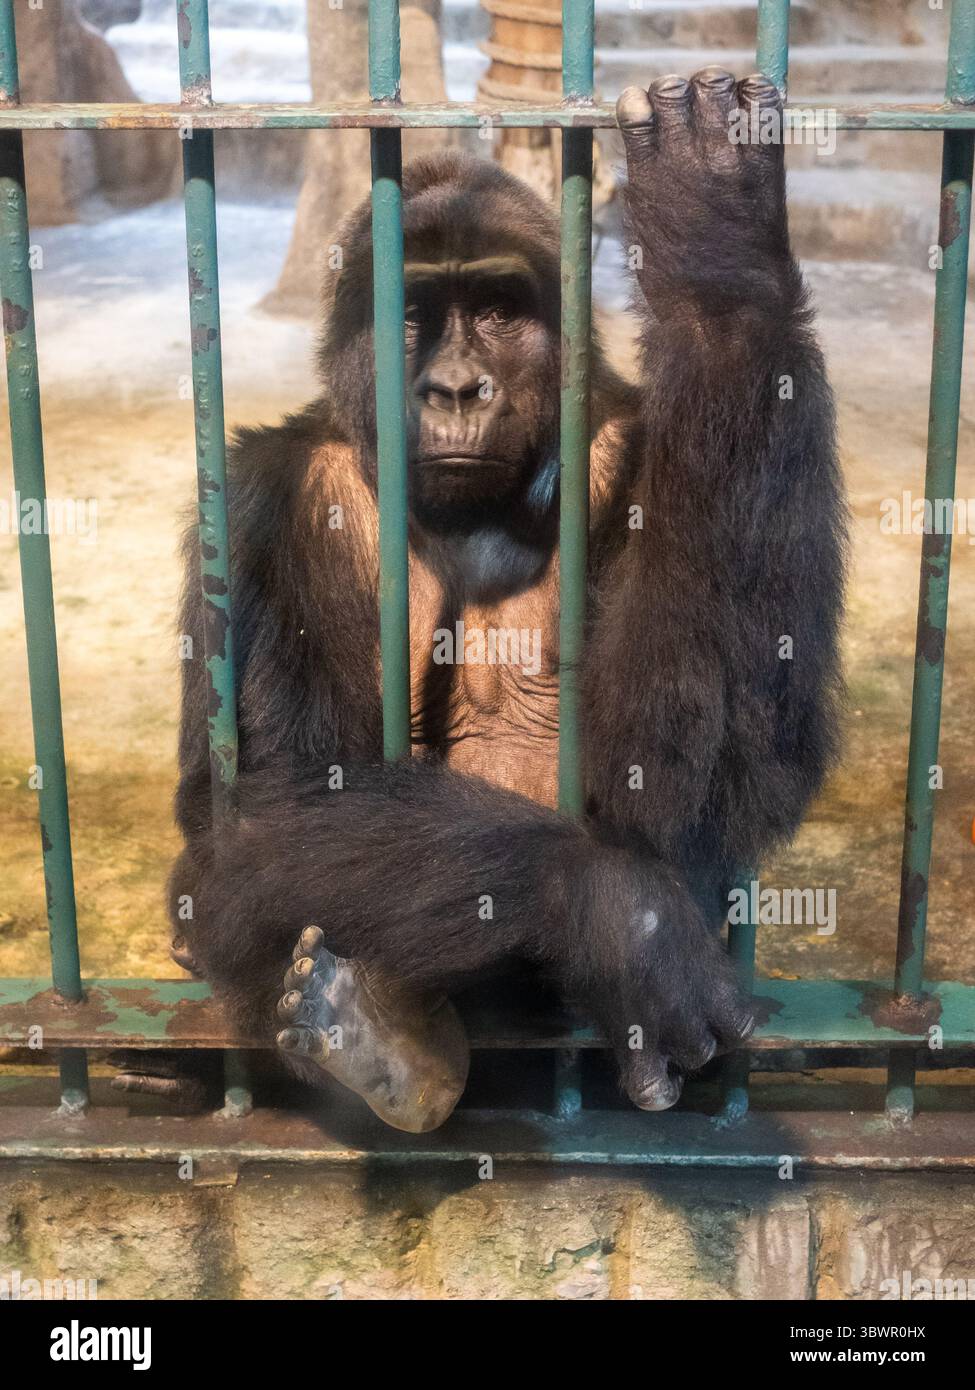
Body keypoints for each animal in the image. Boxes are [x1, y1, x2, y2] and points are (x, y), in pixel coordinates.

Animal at [116, 69, 845, 1132]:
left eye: (499, 310)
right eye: (414, 313)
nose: (457, 387)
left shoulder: (625, 448)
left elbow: (708, 770)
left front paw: (718, 248)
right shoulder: (262, 497)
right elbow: (258, 798)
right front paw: (612, 911)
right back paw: (367, 1043)